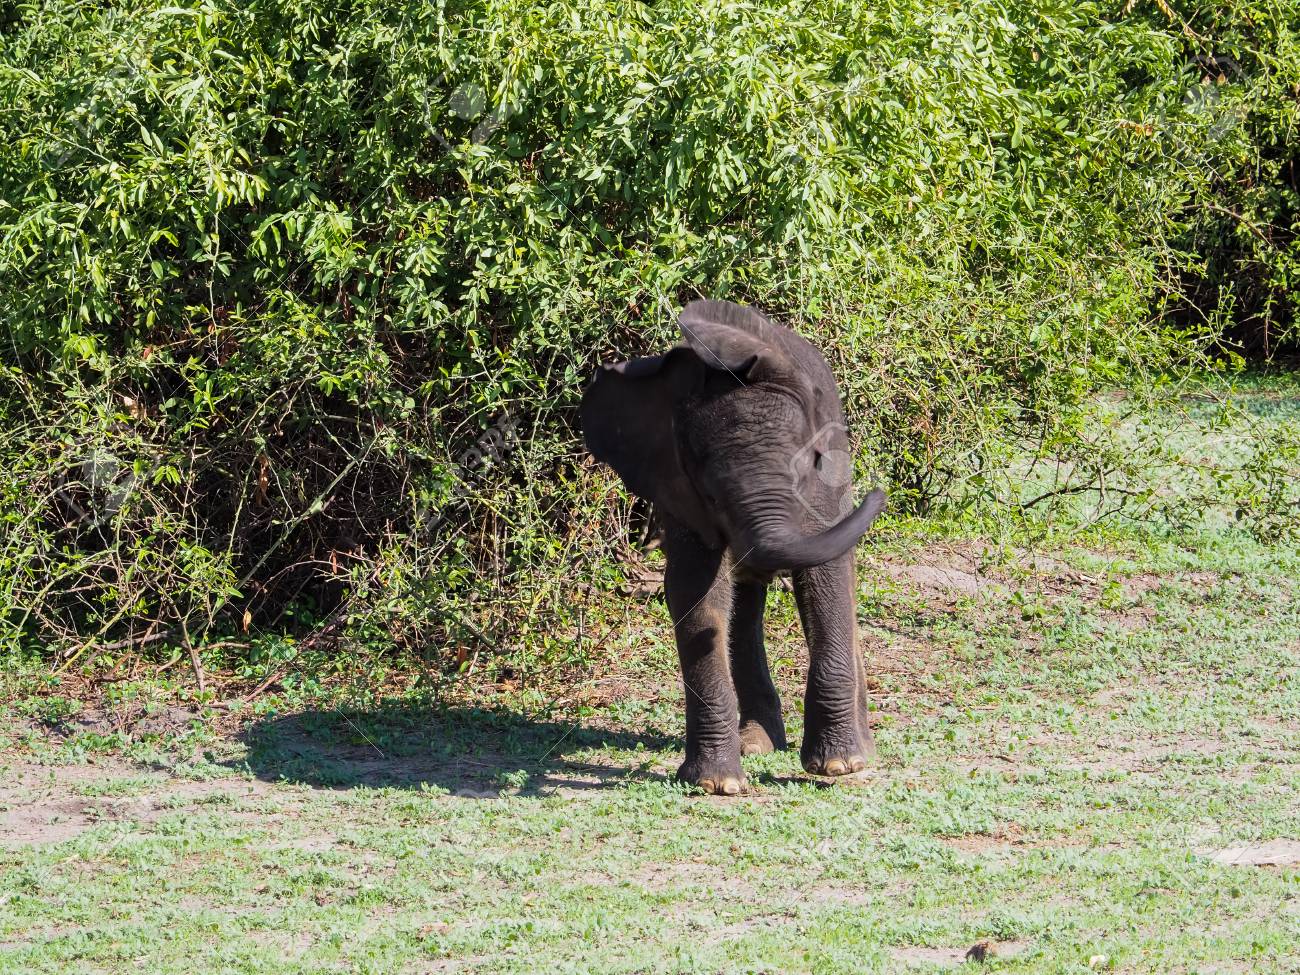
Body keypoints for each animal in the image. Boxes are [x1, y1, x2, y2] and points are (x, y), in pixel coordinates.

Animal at [581, 299, 886, 795]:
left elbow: (825, 580)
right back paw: (756, 744)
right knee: (743, 604)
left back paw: (860, 751)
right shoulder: (676, 489)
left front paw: (840, 766)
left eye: (804, 466)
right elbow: (697, 593)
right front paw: (716, 784)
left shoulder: (825, 485)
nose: (878, 495)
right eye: (711, 492)